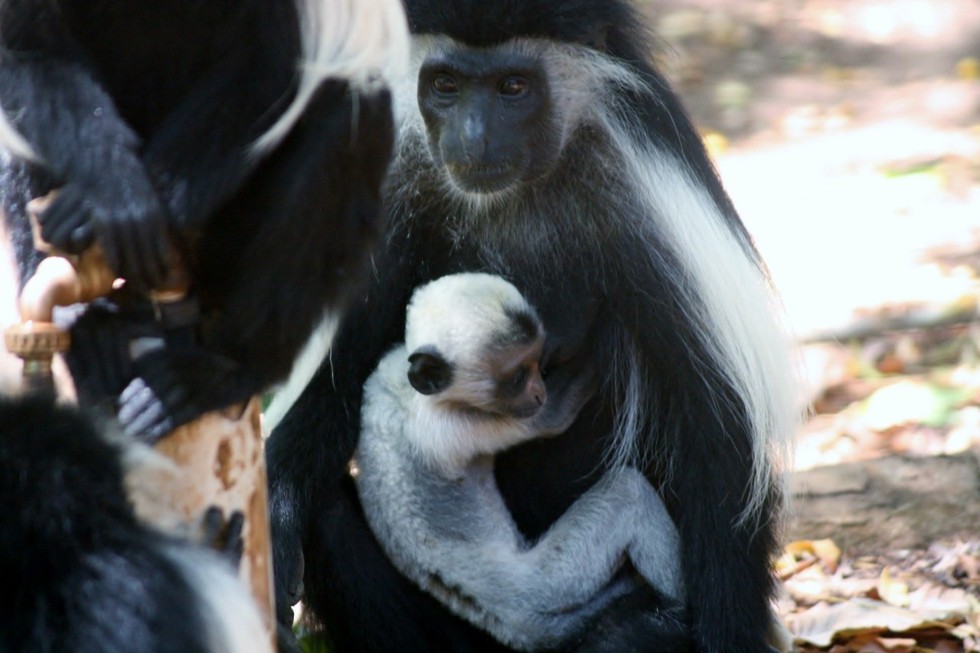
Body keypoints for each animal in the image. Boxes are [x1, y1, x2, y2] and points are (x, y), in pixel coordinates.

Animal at [0, 0, 409, 440]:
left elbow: (275, 52)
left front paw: (138, 209)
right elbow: (28, 46)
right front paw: (112, 191)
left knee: (346, 108)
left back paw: (220, 372)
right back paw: (86, 326)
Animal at [352, 272, 684, 652]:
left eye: (537, 364)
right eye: (516, 378)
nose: (539, 392)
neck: (414, 393)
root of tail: (505, 617)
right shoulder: (457, 422)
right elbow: (554, 417)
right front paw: (599, 325)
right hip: (542, 585)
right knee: (628, 494)